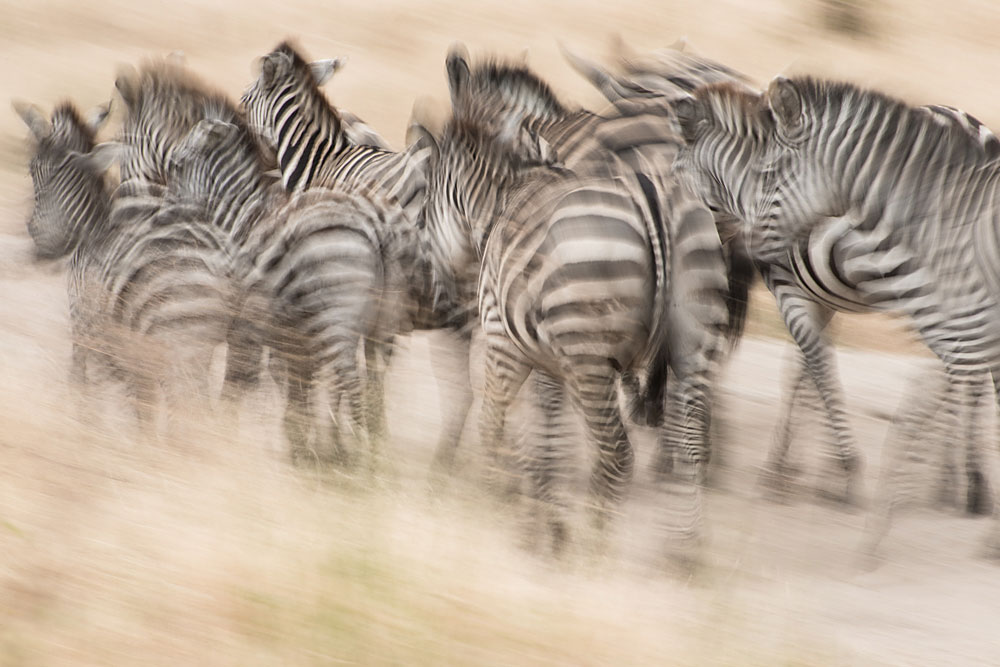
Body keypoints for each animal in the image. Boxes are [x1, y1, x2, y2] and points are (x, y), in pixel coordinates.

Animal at [16, 100, 234, 440]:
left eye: (33, 170)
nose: (40, 244)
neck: (95, 226)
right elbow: (142, 404)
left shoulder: (85, 323)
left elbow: (83, 385)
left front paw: (87, 434)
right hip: (195, 345)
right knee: (195, 406)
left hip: (171, 339)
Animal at [672, 75, 1000, 557]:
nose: (741, 249)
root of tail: (969, 125)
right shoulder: (819, 297)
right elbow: (803, 372)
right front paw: (804, 466)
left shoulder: (791, 291)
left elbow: (817, 366)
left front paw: (829, 471)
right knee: (967, 372)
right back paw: (962, 482)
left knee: (961, 368)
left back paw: (960, 481)